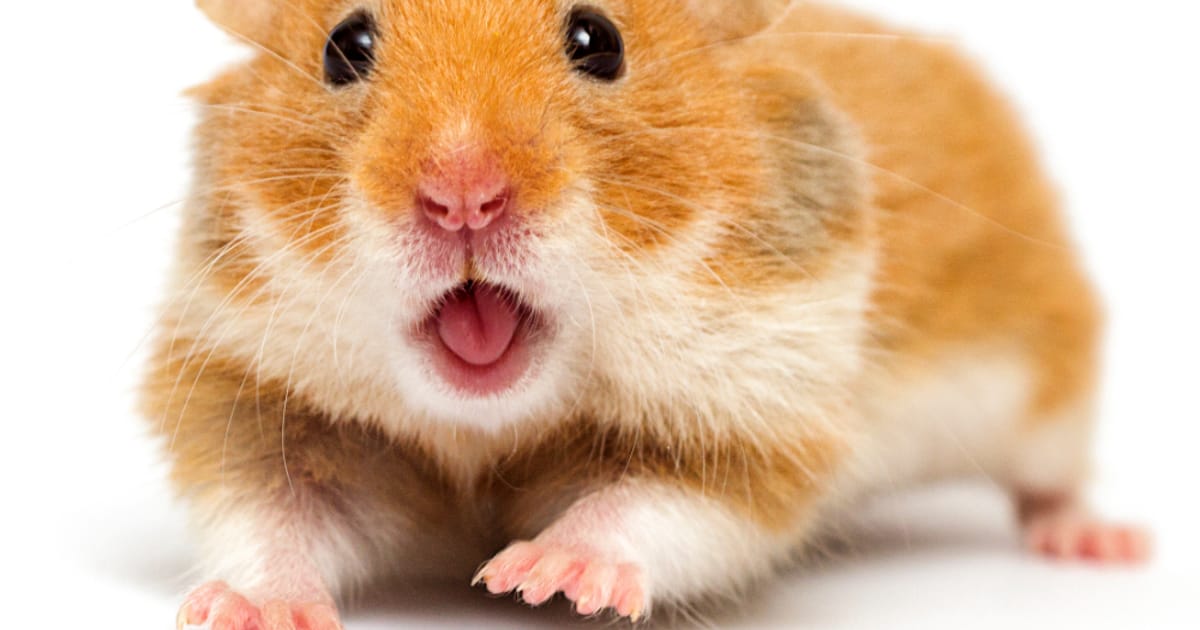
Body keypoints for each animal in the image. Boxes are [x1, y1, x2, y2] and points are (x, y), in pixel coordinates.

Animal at [145, 1, 1149, 627]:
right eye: (345, 46)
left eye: (599, 40)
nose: (463, 197)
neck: (487, 426)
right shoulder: (258, 395)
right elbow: (273, 515)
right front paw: (248, 611)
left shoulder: (758, 422)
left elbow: (647, 504)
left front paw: (539, 577)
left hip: (1048, 392)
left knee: (1049, 477)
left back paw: (1100, 542)